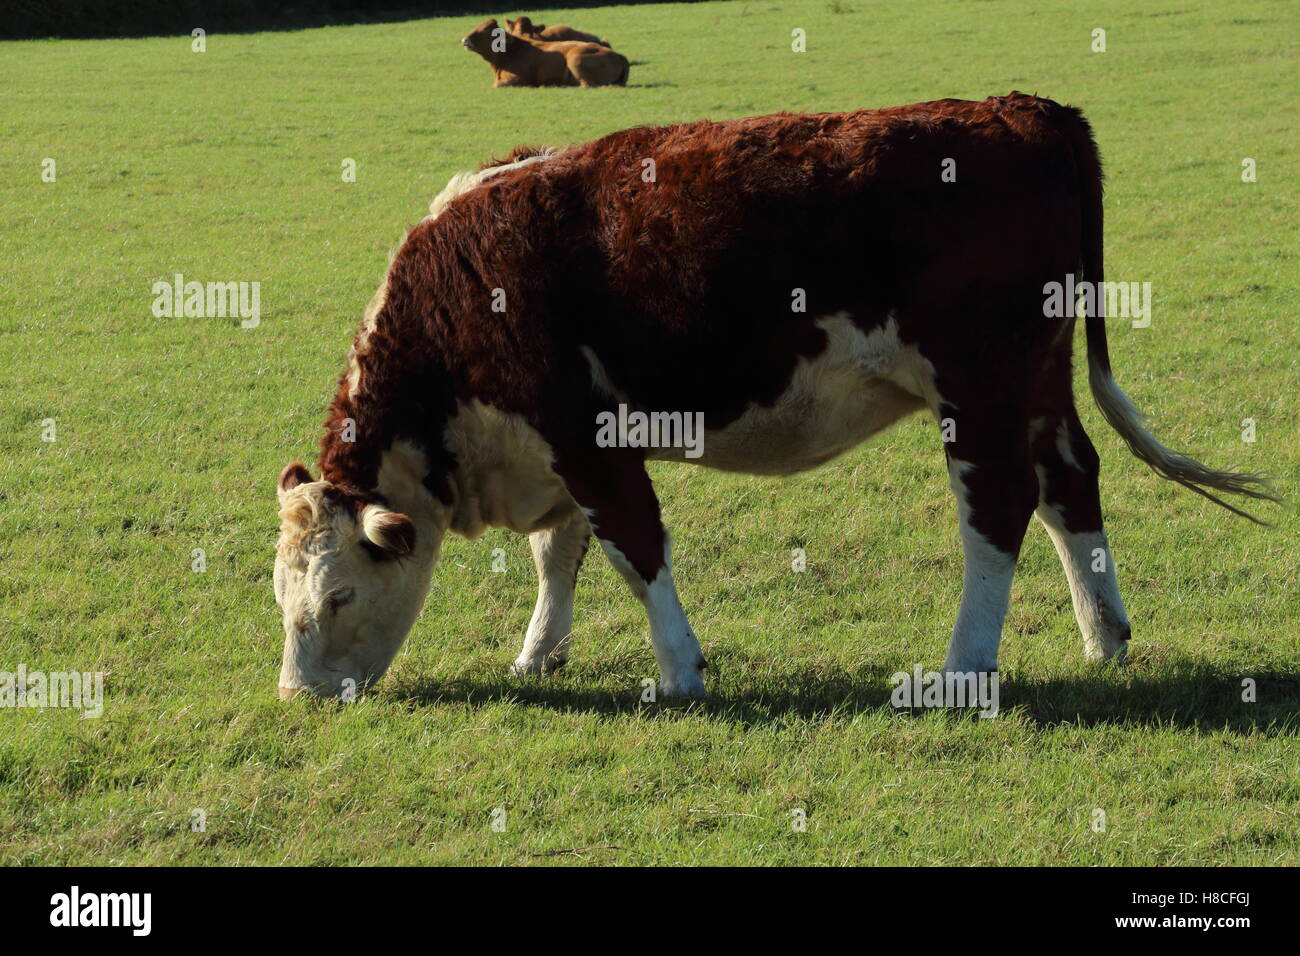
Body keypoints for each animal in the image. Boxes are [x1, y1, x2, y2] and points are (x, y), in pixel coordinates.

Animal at [273, 93, 1275, 701]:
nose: (297, 695)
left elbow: (632, 548)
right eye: (283, 598)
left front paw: (680, 670)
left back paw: (962, 669)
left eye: (336, 596)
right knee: (1071, 483)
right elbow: (559, 554)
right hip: (1038, 381)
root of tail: (1022, 110)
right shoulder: (543, 450)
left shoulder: (585, 435)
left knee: (997, 508)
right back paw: (1104, 637)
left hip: (980, 390)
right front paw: (537, 653)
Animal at [461, 18, 628, 88]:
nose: (464, 40)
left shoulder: (517, 78)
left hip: (574, 58)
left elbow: (496, 85)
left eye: (485, 30)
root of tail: (618, 55)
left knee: (587, 85)